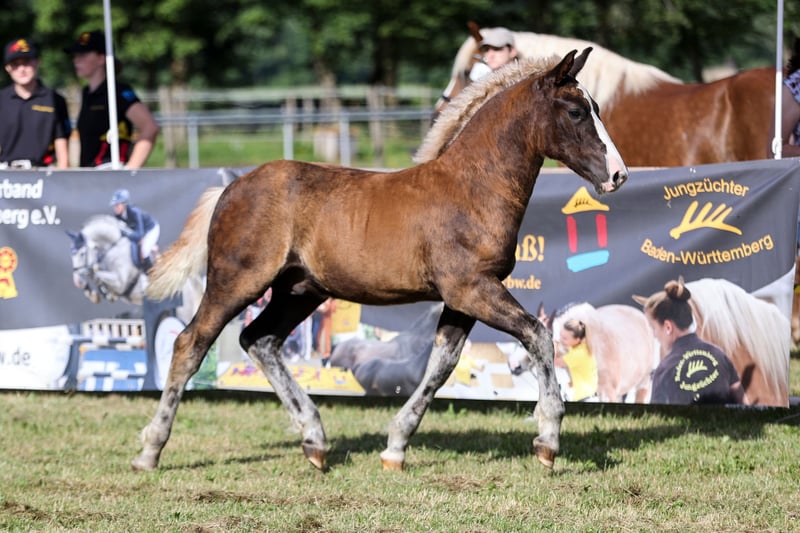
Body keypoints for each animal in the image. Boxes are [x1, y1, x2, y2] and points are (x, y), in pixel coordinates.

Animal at [130, 49, 629, 474]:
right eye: (576, 112)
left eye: (598, 108)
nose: (619, 175)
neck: (472, 188)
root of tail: (232, 187)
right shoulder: (472, 288)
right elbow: (537, 336)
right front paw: (547, 440)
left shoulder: (463, 299)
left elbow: (442, 364)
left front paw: (395, 448)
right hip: (236, 281)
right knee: (191, 343)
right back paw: (150, 451)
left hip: (300, 290)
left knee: (260, 339)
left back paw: (315, 441)